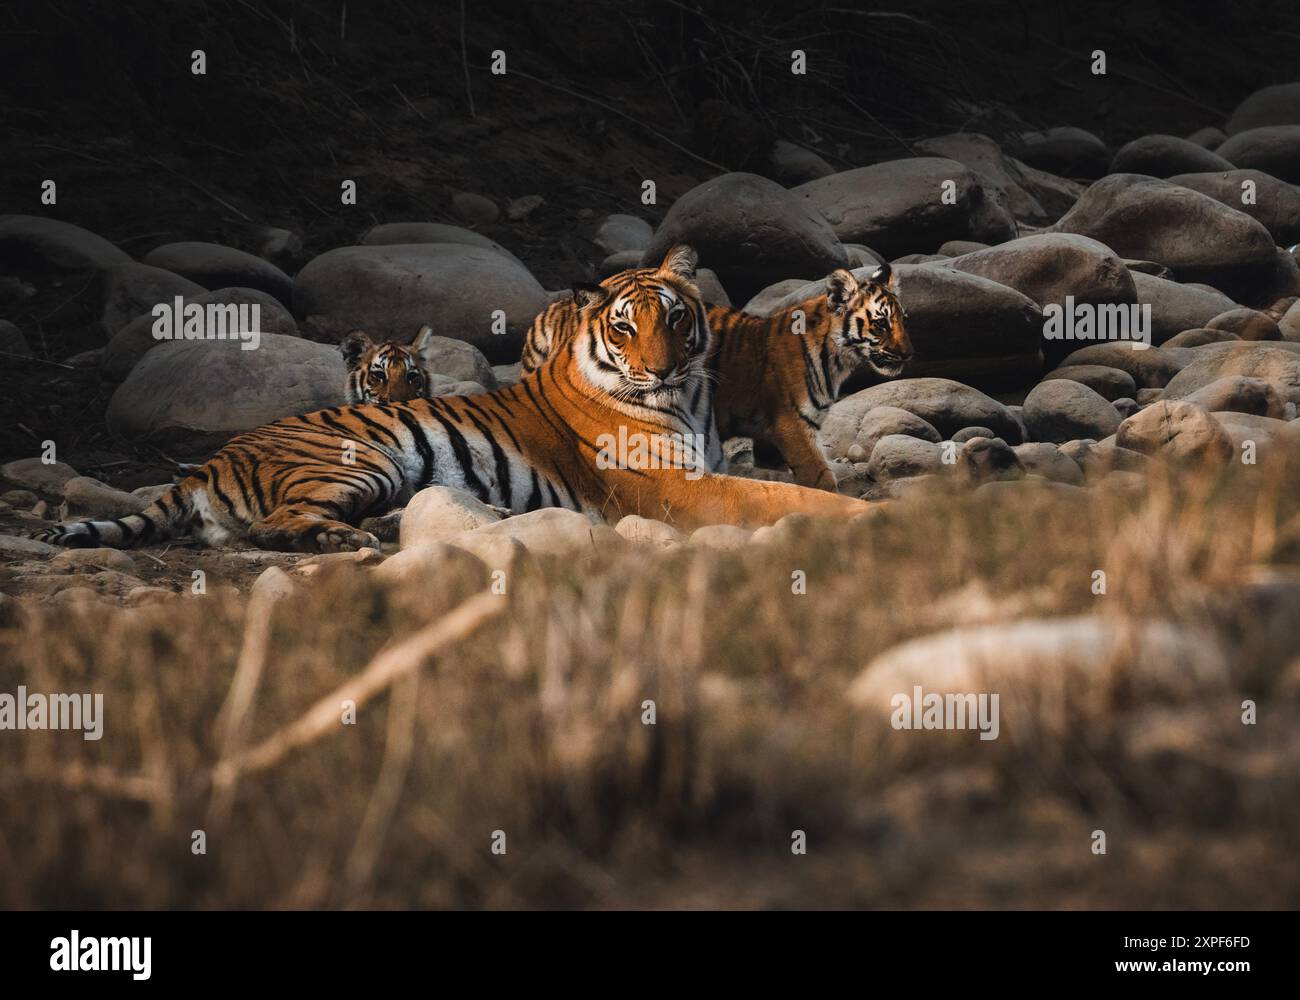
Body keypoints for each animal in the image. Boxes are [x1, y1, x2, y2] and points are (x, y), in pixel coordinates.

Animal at [522, 263, 912, 491]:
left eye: (903, 318)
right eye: (880, 324)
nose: (909, 353)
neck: (837, 357)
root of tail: (551, 311)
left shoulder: (769, 436)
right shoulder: (793, 425)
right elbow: (818, 475)